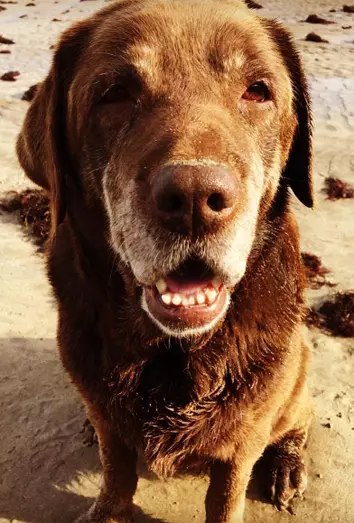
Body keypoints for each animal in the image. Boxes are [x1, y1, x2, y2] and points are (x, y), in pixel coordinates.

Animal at [15, 1, 314, 523]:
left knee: (300, 418)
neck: (174, 354)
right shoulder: (110, 427)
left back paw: (287, 463)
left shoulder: (243, 441)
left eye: (258, 90)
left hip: (296, 373)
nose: (194, 200)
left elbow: (225, 496)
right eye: (114, 94)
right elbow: (116, 473)